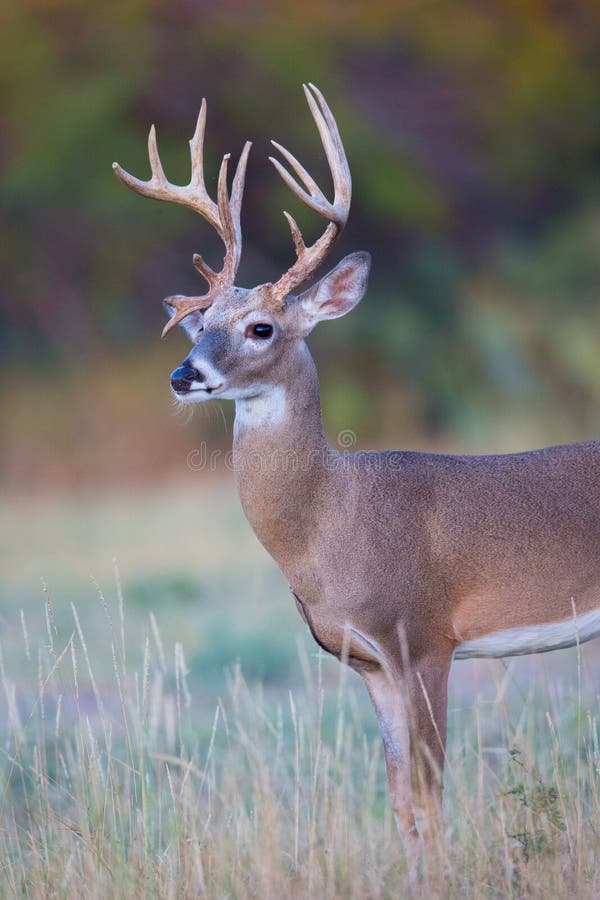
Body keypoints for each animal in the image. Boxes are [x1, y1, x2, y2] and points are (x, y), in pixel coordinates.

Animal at [113, 84, 600, 858]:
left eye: (261, 327)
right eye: (200, 323)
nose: (183, 375)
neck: (331, 521)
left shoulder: (425, 635)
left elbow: (431, 796)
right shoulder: (367, 661)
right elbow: (401, 800)